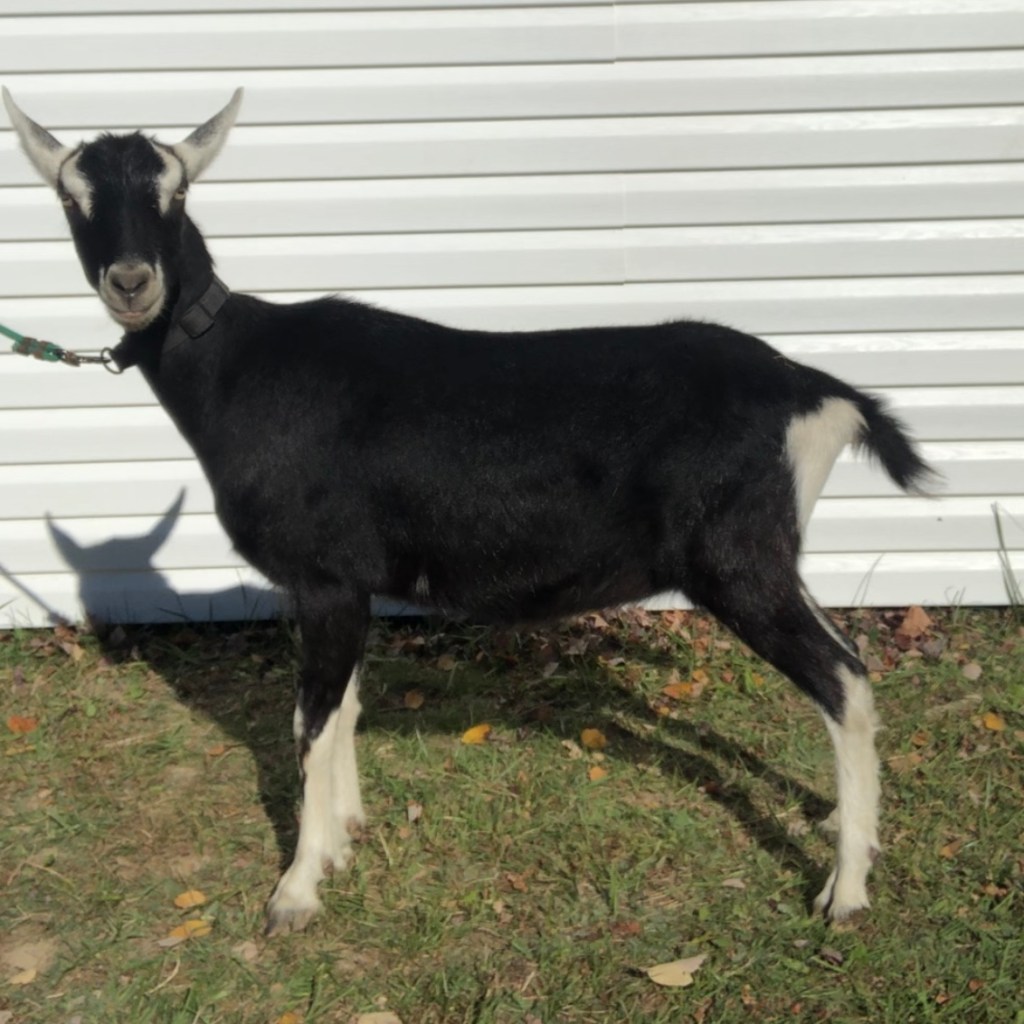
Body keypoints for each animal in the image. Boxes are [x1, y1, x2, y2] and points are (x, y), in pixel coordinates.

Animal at [4, 88, 932, 937]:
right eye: (71, 197)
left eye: (177, 190)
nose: (133, 282)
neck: (239, 369)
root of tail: (818, 394)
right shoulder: (349, 586)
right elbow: (343, 708)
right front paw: (345, 836)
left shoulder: (324, 577)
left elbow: (311, 721)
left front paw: (297, 890)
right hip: (770, 551)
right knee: (849, 661)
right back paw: (845, 821)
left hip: (735, 560)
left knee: (843, 678)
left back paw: (845, 890)